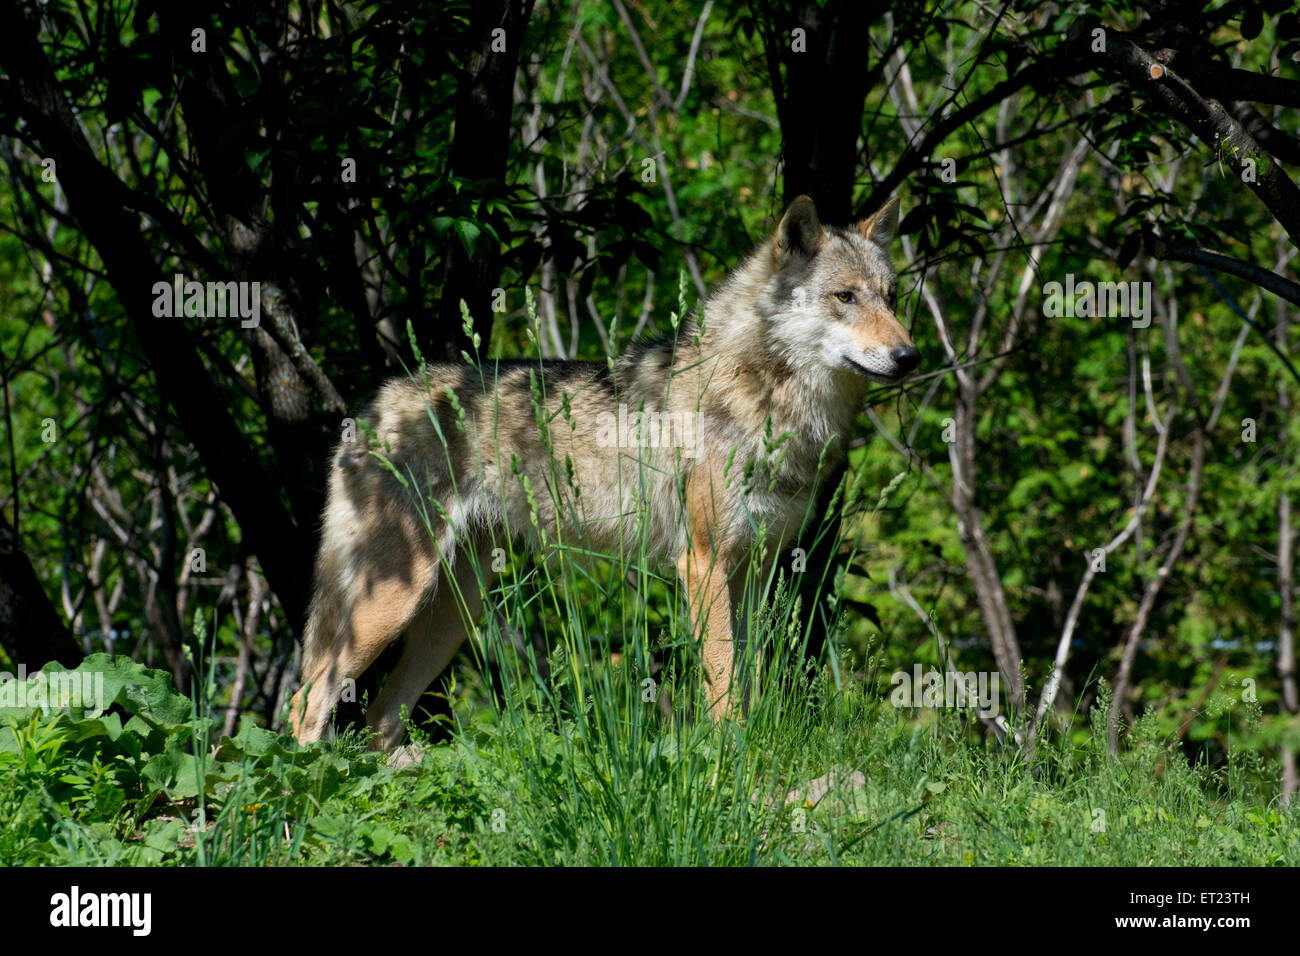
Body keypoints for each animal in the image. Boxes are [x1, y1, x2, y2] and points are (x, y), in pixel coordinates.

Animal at [290, 195, 918, 750]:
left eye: (892, 298)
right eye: (845, 296)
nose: (910, 356)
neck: (768, 401)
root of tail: (373, 405)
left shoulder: (759, 567)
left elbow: (751, 674)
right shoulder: (704, 563)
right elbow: (722, 684)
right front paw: (731, 758)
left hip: (453, 611)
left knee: (378, 715)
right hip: (393, 601)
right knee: (308, 701)